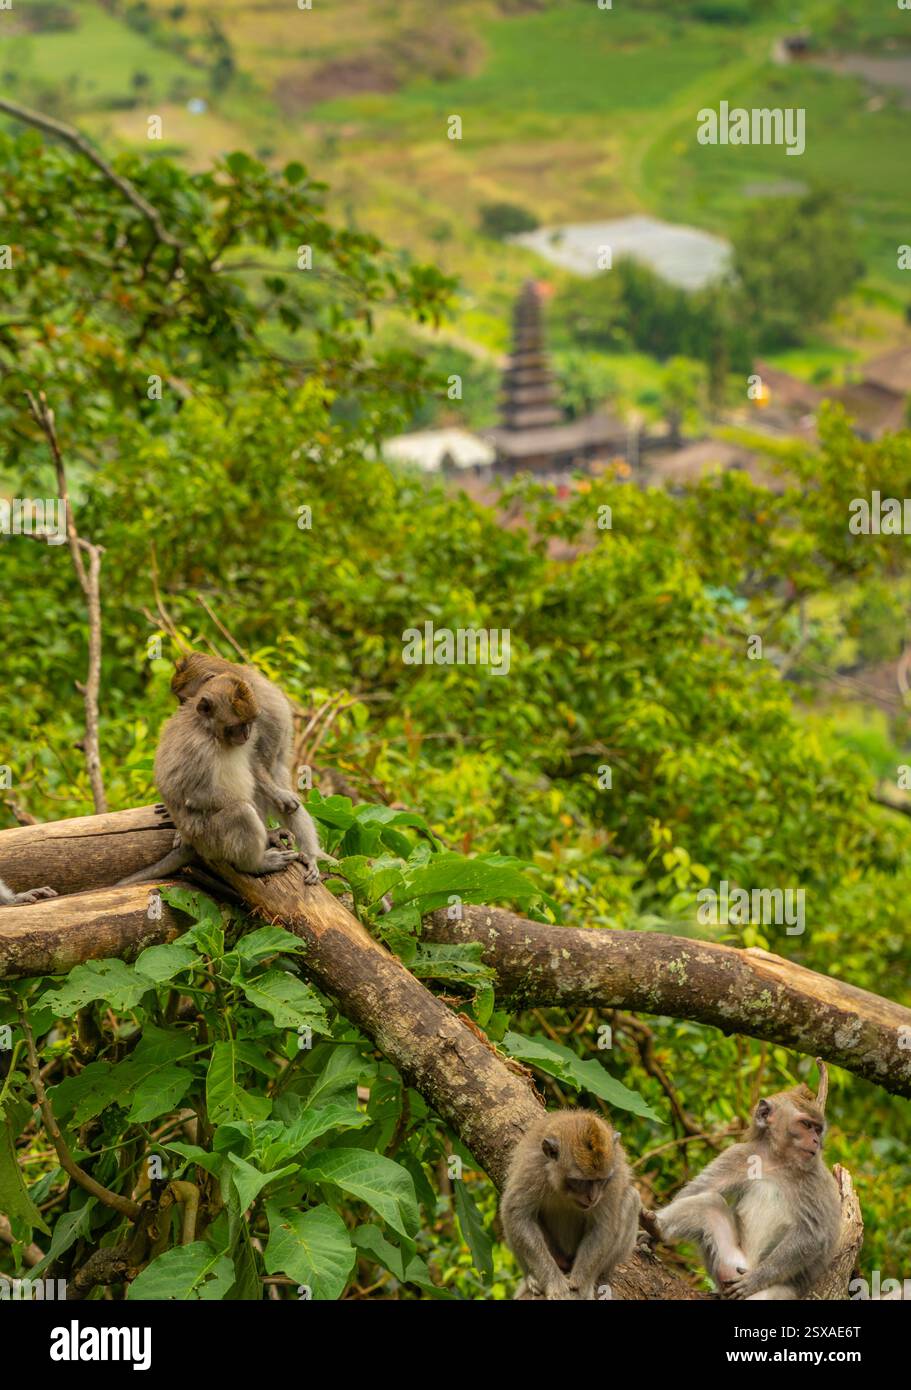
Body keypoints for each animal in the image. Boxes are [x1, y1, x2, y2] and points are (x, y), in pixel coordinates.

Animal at [500, 1108, 640, 1300]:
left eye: (601, 1180)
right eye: (580, 1181)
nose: (592, 1198)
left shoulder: (614, 1177)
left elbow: (602, 1226)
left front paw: (581, 1285)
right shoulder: (533, 1169)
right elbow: (518, 1215)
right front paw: (554, 1283)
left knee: (631, 1198)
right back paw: (532, 1277)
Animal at [654, 1060, 840, 1301]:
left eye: (818, 1129)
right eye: (807, 1125)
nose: (816, 1141)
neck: (777, 1161)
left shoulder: (813, 1179)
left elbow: (813, 1235)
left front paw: (755, 1279)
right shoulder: (739, 1155)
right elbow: (695, 1191)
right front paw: (649, 1236)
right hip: (729, 1262)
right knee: (708, 1204)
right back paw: (655, 1227)